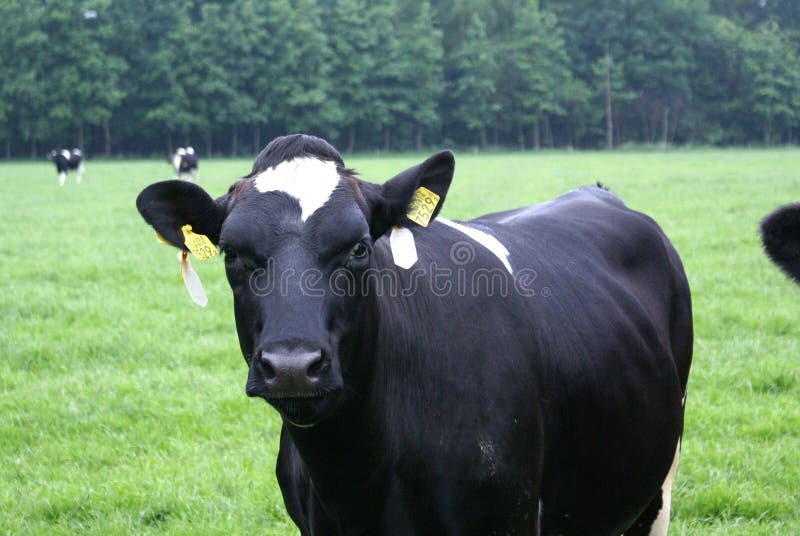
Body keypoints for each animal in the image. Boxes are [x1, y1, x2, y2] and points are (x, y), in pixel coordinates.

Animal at [136, 134, 693, 535]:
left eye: (359, 247)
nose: (293, 366)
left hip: (657, 482)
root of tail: (596, 190)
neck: (358, 475)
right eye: (232, 253)